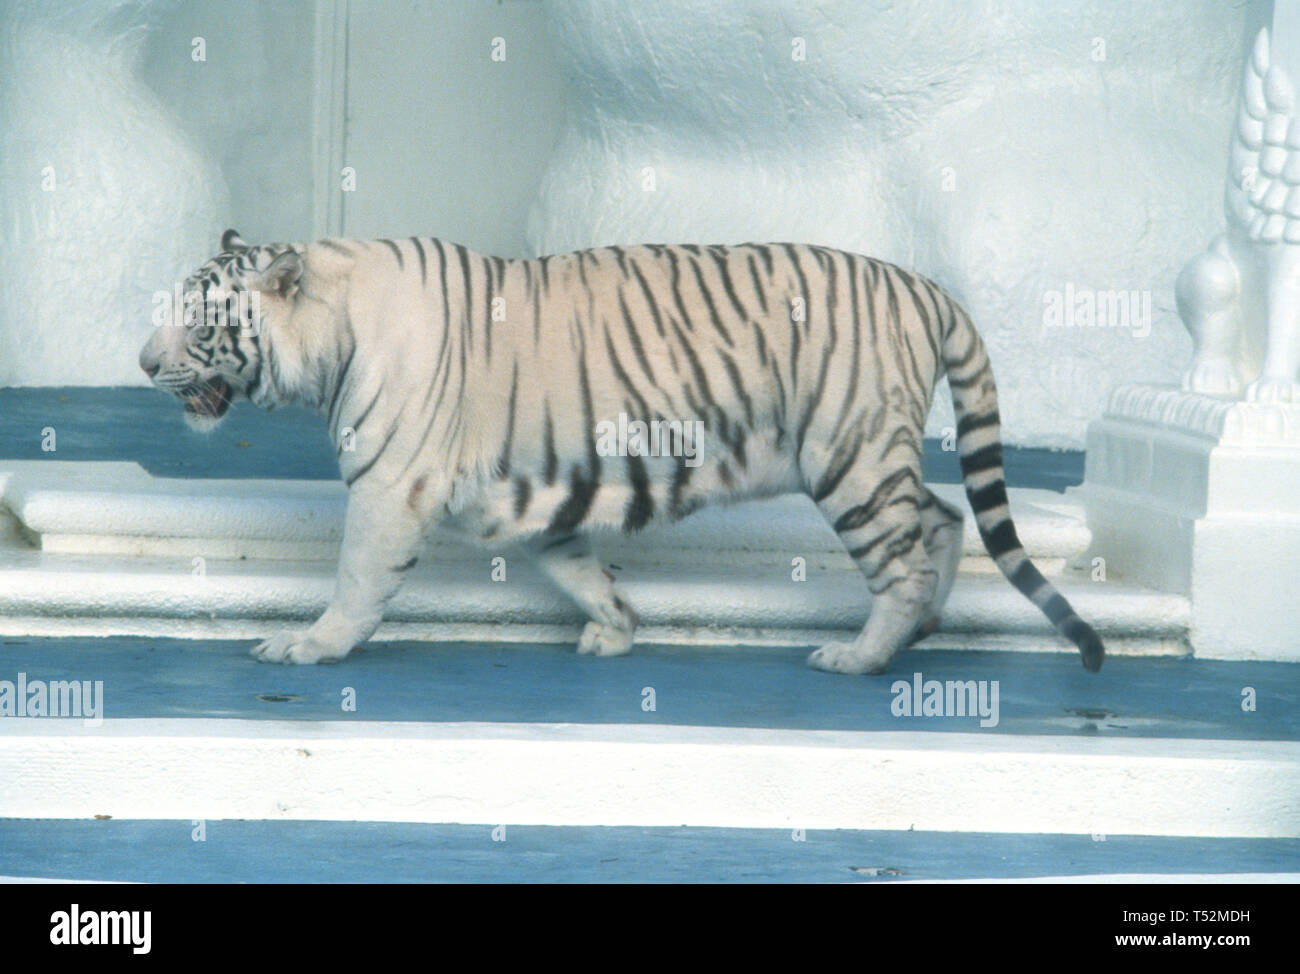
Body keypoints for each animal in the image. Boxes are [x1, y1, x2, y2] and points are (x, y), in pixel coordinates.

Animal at [138, 228, 1105, 675]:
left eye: (198, 319)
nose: (144, 362)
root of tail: (925, 287)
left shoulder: (387, 490)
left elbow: (354, 582)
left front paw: (309, 647)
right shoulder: (531, 495)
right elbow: (576, 566)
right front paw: (615, 628)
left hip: (852, 458)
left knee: (903, 556)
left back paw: (862, 655)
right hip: (879, 458)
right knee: (941, 519)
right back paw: (923, 631)